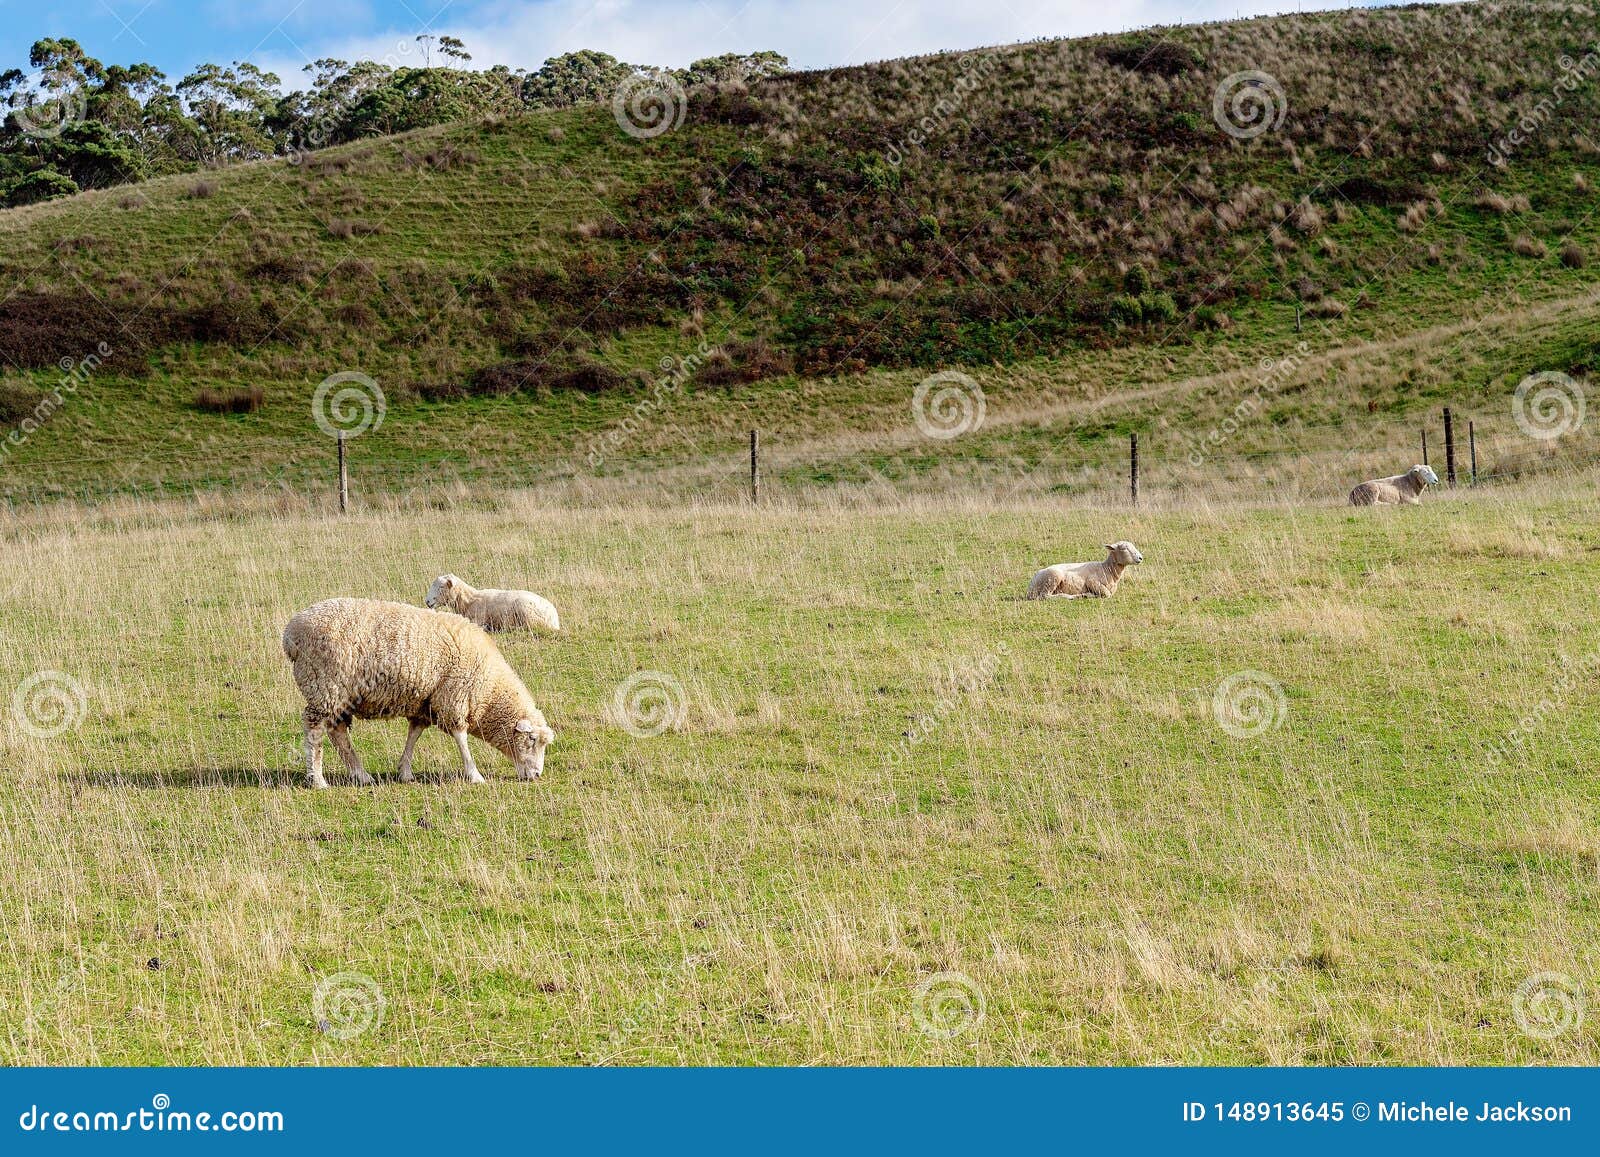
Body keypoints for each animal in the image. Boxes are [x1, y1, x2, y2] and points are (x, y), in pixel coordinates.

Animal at [282, 597, 555, 789]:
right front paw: (474, 774)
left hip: (338, 696)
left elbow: (414, 734)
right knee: (315, 730)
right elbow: (461, 738)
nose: (537, 775)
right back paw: (318, 780)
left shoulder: (426, 703)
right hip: (324, 686)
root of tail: (290, 634)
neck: (489, 691)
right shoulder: (453, 697)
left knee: (338, 732)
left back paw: (361, 775)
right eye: (531, 740)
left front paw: (405, 772)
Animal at [425, 573, 560, 632]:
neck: (469, 600)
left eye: (441, 587)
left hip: (528, 613)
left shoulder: (477, 619)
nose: (427, 601)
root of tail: (554, 619)